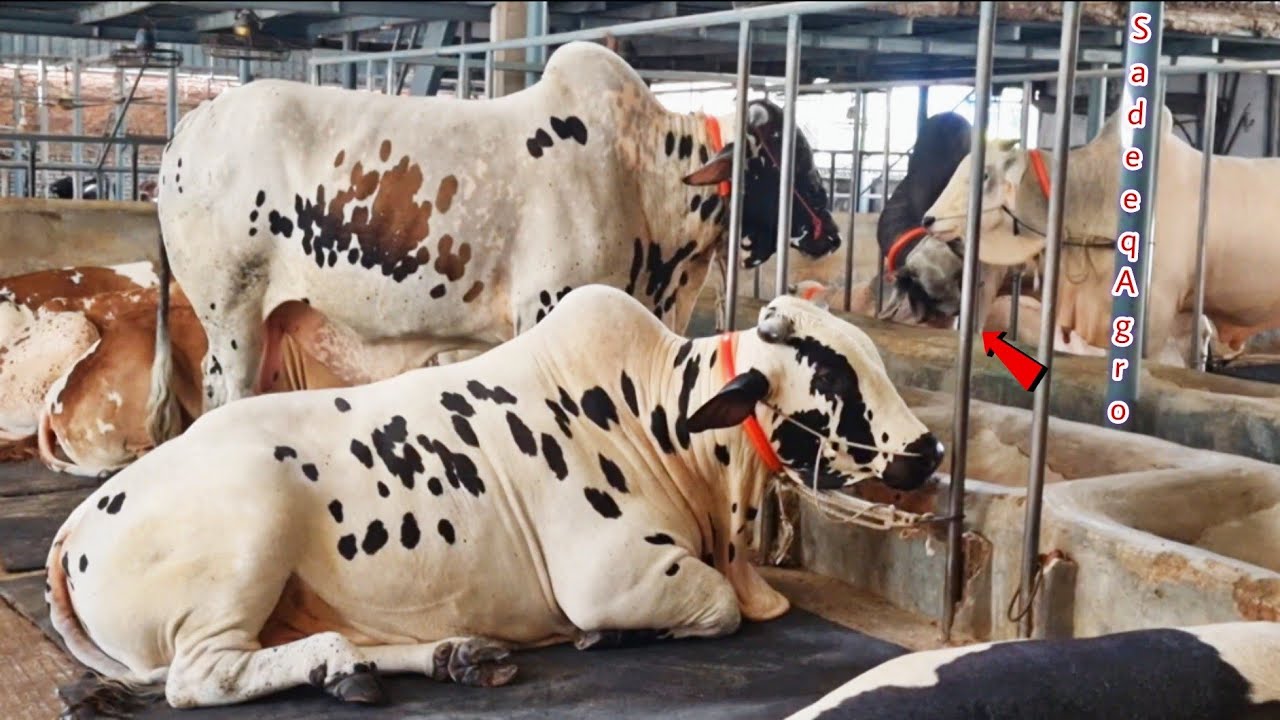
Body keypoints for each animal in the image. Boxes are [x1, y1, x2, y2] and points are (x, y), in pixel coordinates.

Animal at [47, 284, 942, 712]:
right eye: (835, 378)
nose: (929, 449)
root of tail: (79, 523)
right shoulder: (611, 576)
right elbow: (715, 606)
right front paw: (609, 640)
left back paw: (442, 656)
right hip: (244, 545)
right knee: (201, 678)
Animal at [147, 40, 842, 447]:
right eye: (787, 157)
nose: (830, 232)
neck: (640, 170)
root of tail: (194, 124)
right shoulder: (547, 308)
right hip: (233, 314)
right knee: (225, 392)